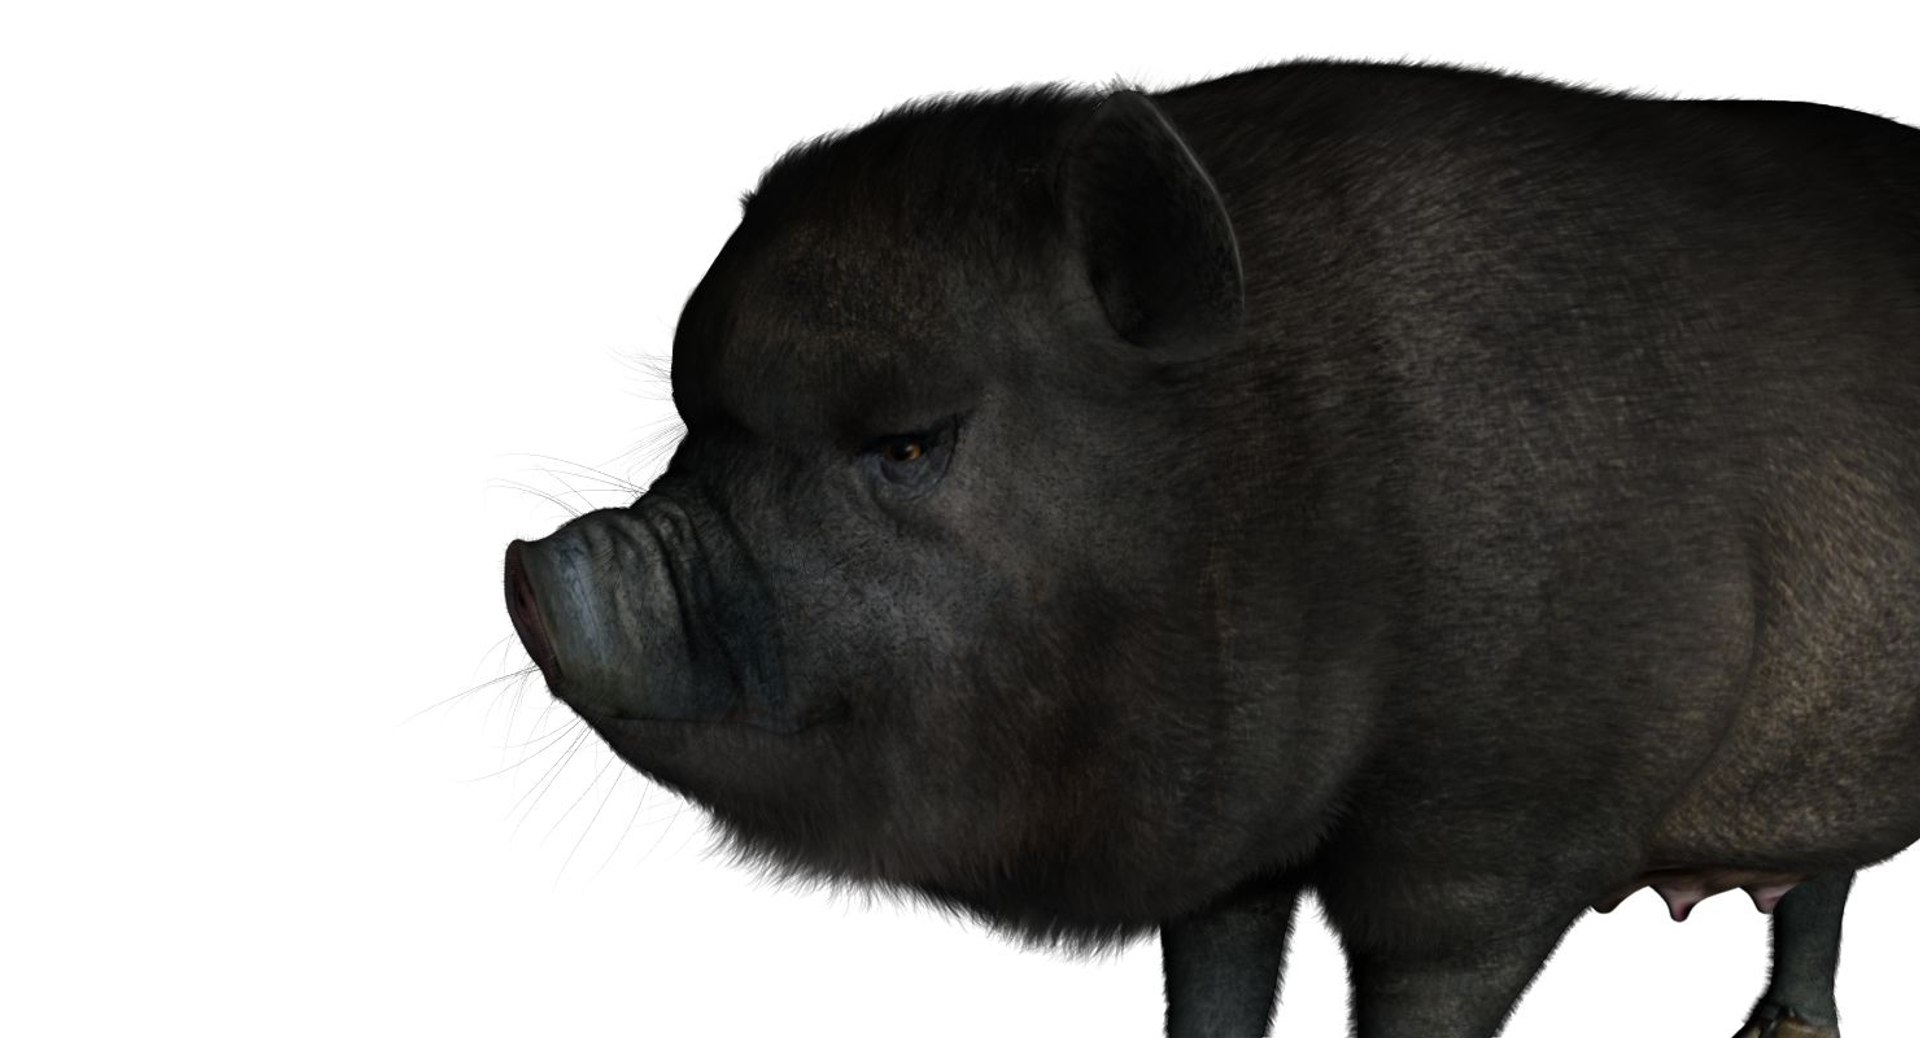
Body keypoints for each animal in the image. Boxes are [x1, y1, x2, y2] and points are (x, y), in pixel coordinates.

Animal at [502, 60, 1920, 1037]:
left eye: (907, 444)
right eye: (697, 420)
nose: (533, 567)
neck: (1287, 474)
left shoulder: (1500, 829)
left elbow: (1428, 979)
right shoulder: (1234, 847)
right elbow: (1218, 975)